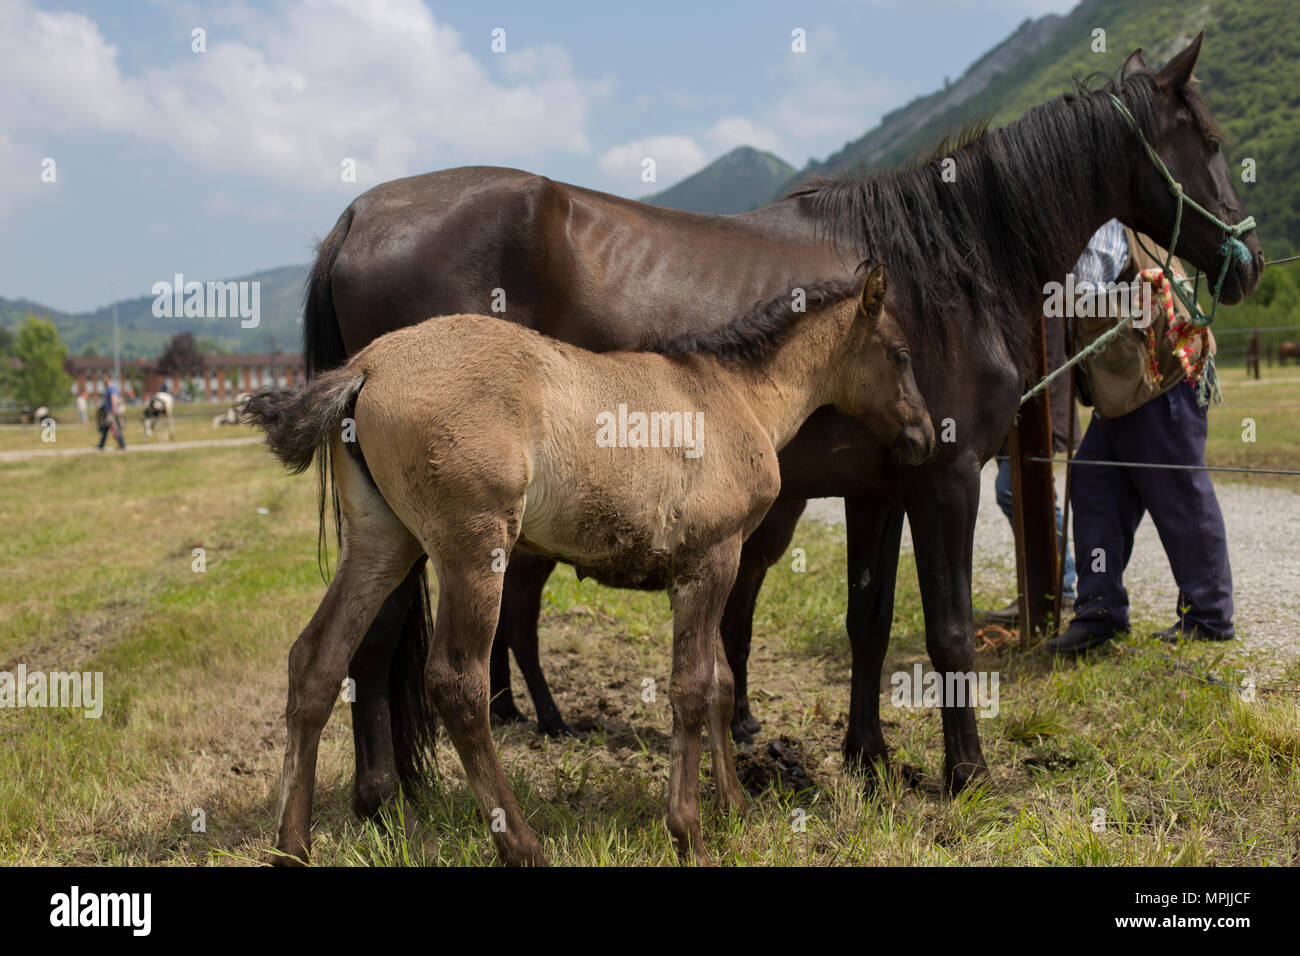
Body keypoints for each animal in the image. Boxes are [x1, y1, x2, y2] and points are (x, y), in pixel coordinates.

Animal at [246, 265, 933, 865]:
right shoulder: (713, 558)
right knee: (456, 681)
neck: (734, 394)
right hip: (474, 547)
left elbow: (718, 684)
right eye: (901, 354)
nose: (926, 436)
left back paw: (292, 845)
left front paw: (735, 806)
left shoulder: (710, 565)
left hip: (381, 540)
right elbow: (691, 688)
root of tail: (365, 367)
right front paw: (689, 831)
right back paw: (522, 845)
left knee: (316, 660)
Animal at [298, 33, 1263, 816]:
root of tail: (356, 219)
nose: (1250, 261)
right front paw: (967, 774)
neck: (944, 265)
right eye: (1212, 142)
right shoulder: (945, 480)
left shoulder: (882, 487)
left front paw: (870, 759)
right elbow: (948, 632)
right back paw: (384, 797)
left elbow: (869, 622)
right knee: (381, 638)